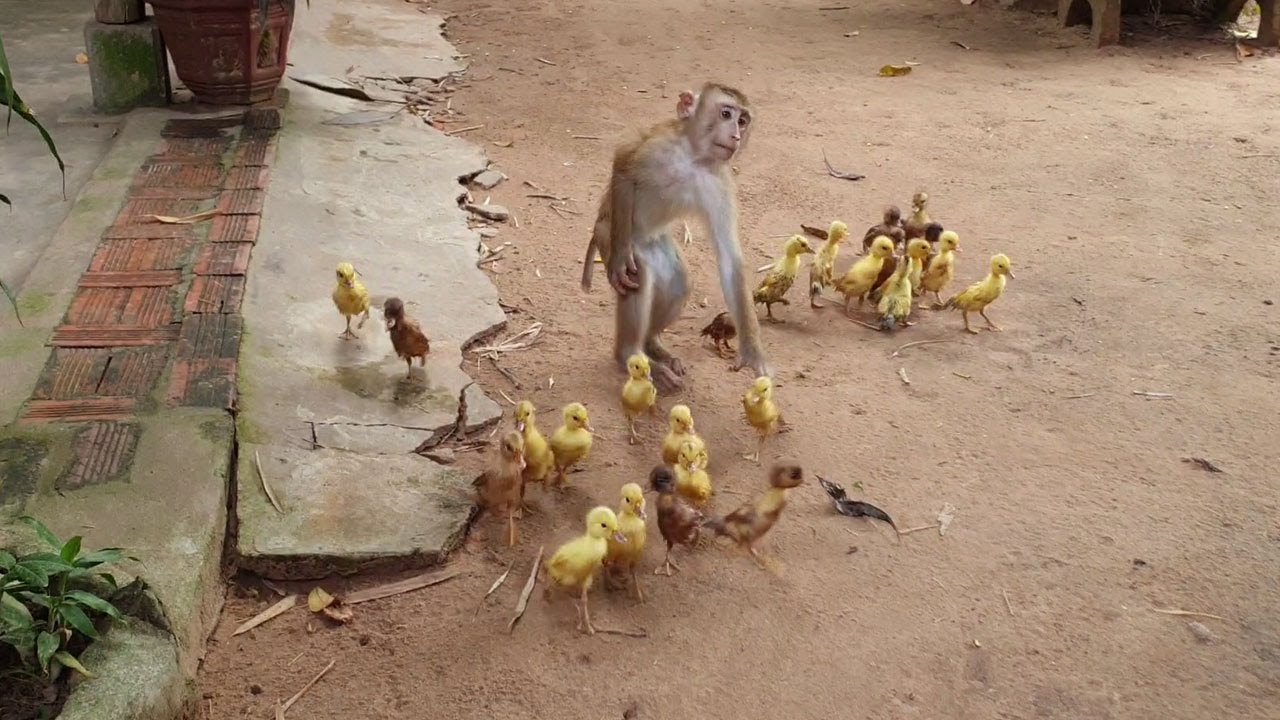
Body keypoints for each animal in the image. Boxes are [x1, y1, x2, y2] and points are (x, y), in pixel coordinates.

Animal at [579, 83, 769, 393]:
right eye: (726, 114)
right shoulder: (659, 145)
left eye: (743, 121)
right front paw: (619, 259)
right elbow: (623, 166)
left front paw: (752, 350)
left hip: (658, 244)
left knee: (679, 282)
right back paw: (628, 353)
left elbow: (730, 260)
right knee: (638, 274)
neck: (692, 158)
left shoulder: (720, 185)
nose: (736, 136)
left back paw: (652, 345)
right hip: (610, 233)